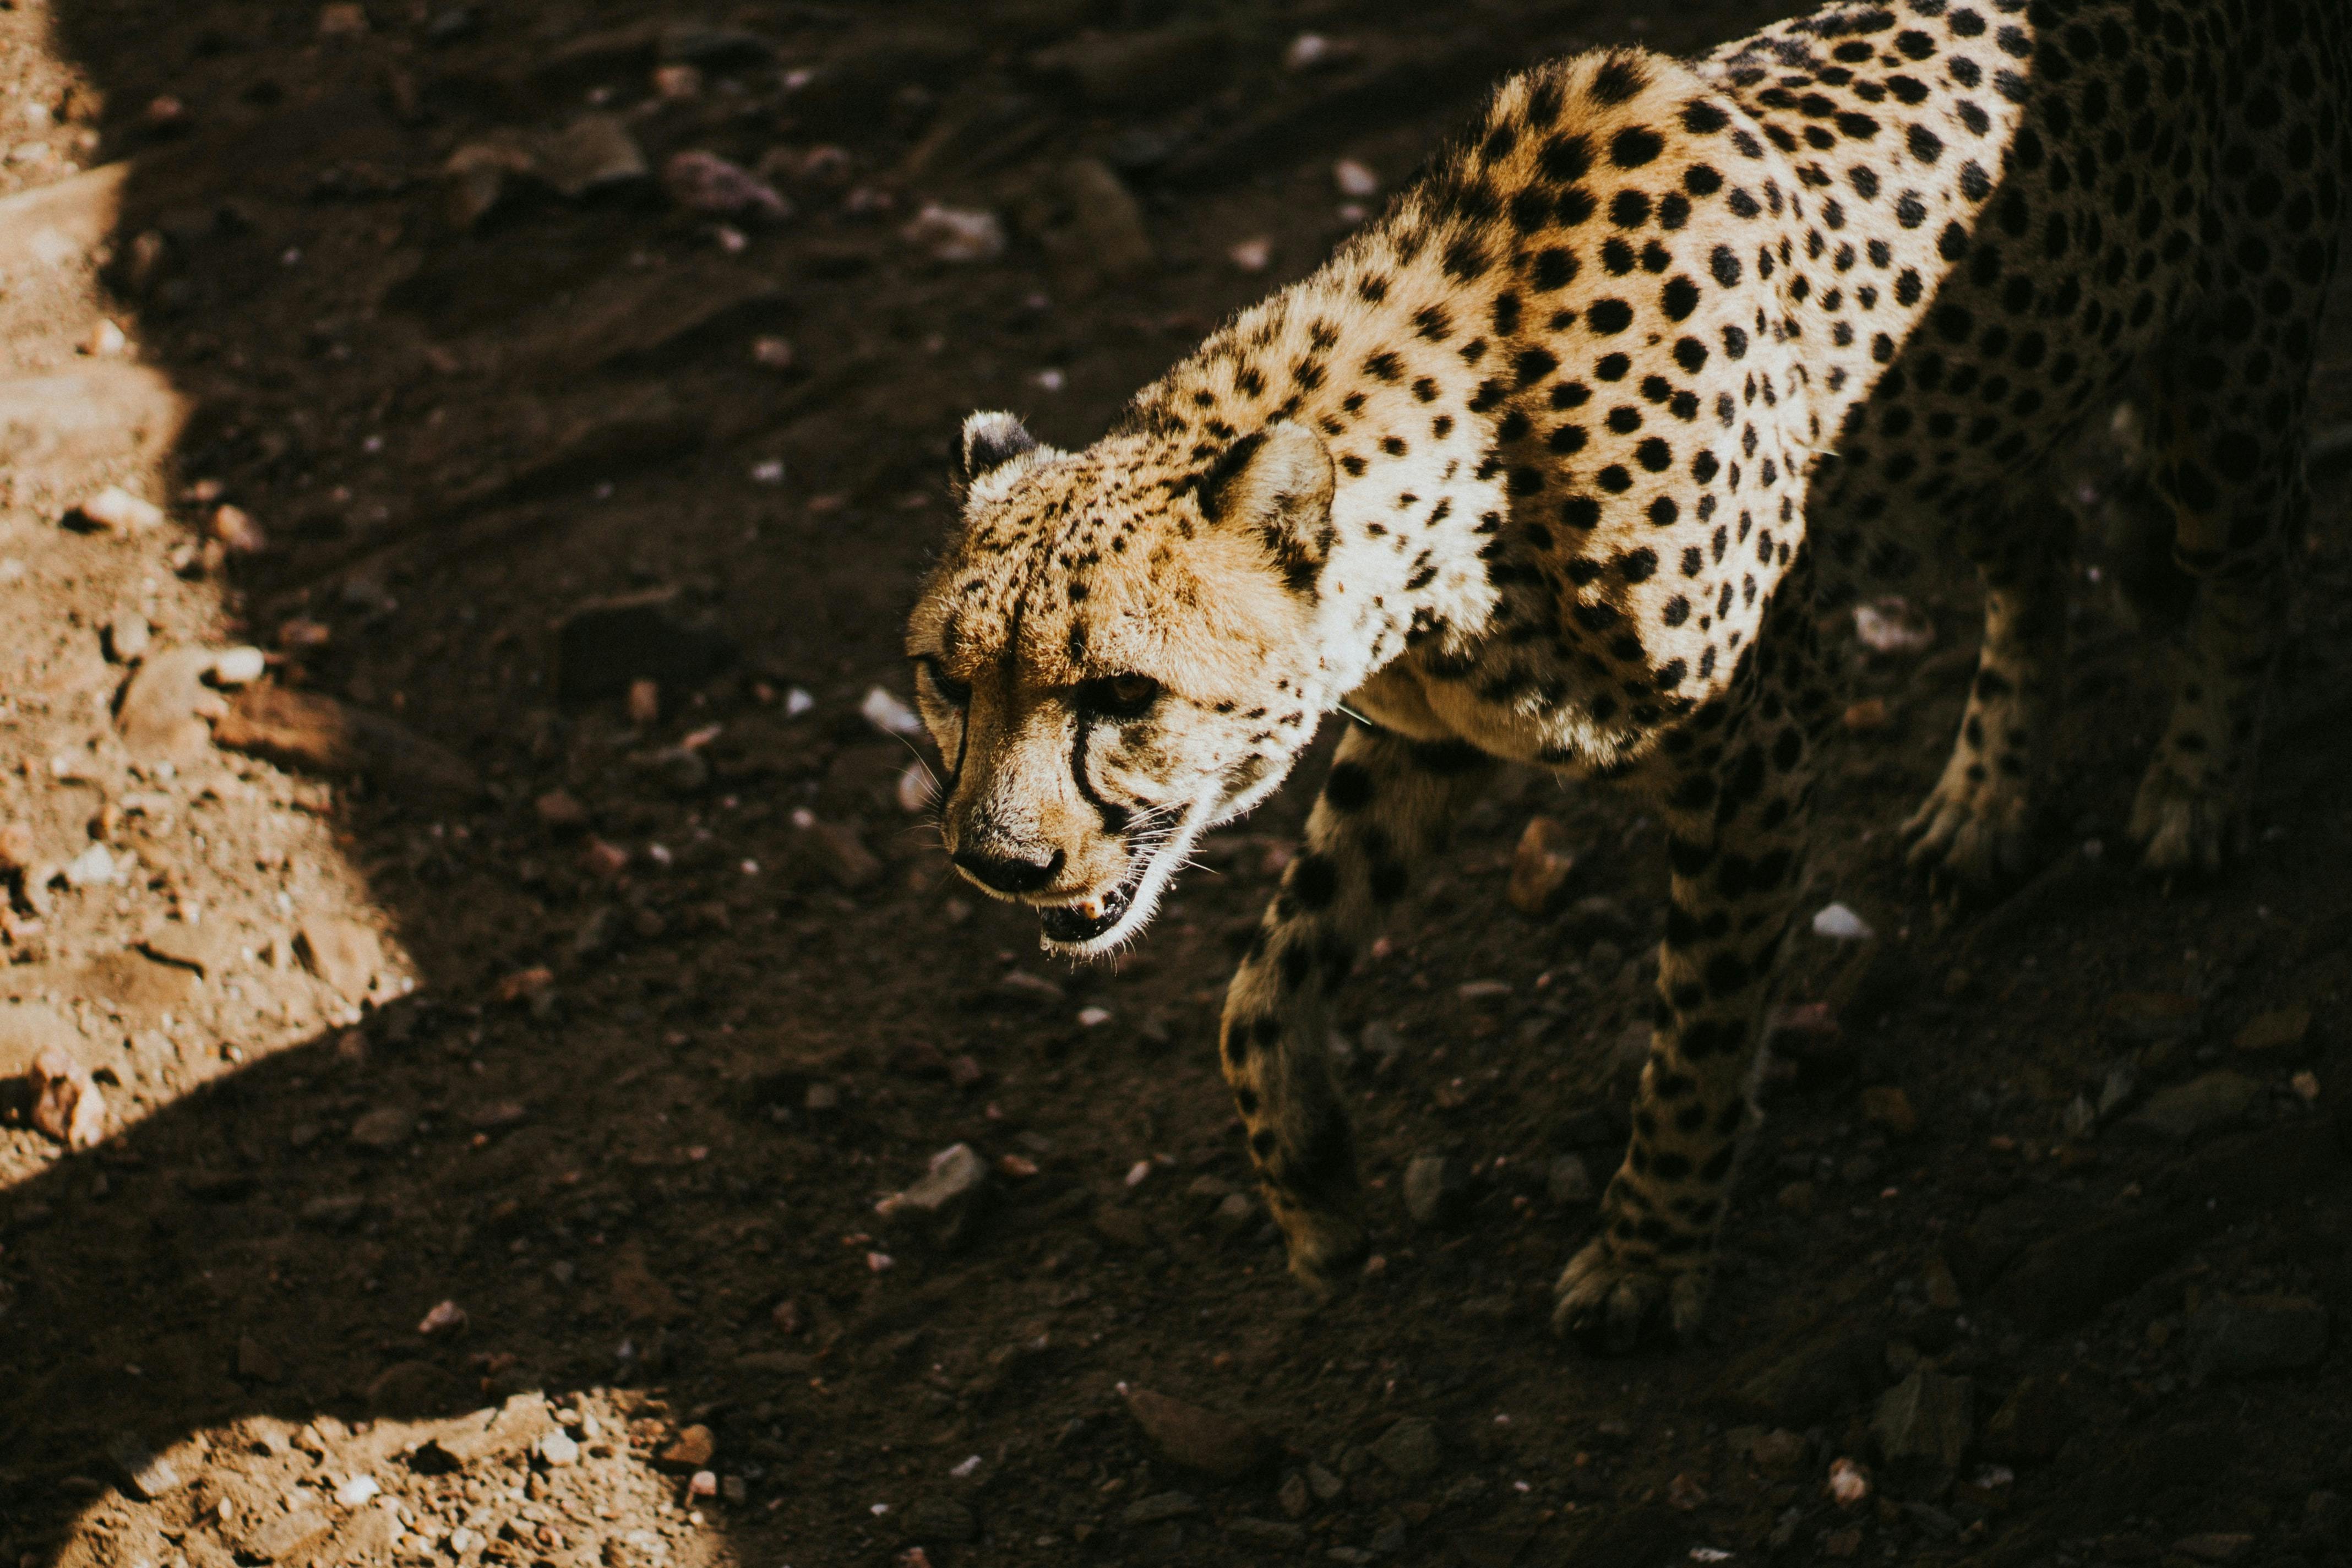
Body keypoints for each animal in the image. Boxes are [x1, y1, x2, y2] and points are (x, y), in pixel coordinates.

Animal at [904, 0, 2349, 1348]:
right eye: (945, 680)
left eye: (1121, 692)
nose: (995, 861)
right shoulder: (1433, 732)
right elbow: (1266, 974)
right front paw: (1311, 1185)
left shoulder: (1759, 739)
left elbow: (1700, 1025)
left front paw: (1648, 1259)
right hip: (1981, 405)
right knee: (2041, 540)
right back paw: (1986, 804)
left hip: (2223, 372)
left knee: (2248, 564)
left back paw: (2193, 797)